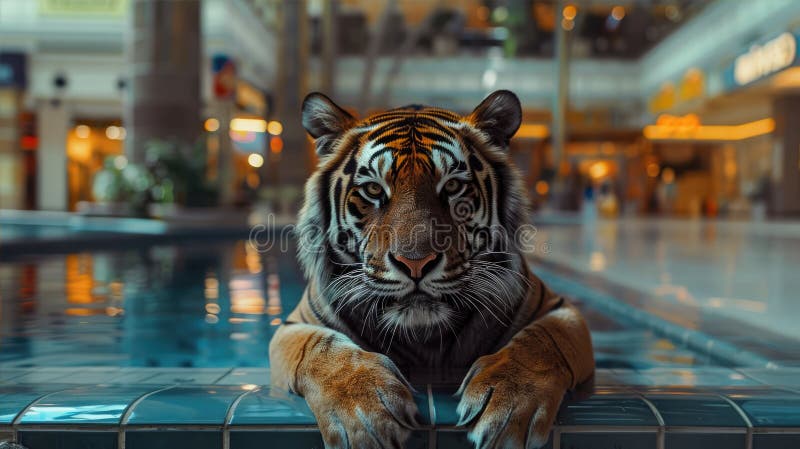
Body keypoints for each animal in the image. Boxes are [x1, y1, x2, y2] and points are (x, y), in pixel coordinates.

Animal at [269, 90, 595, 449]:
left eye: (452, 187)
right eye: (373, 190)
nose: (415, 263)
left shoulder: (559, 311)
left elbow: (539, 343)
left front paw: (508, 408)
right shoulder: (297, 325)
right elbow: (324, 351)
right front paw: (367, 418)